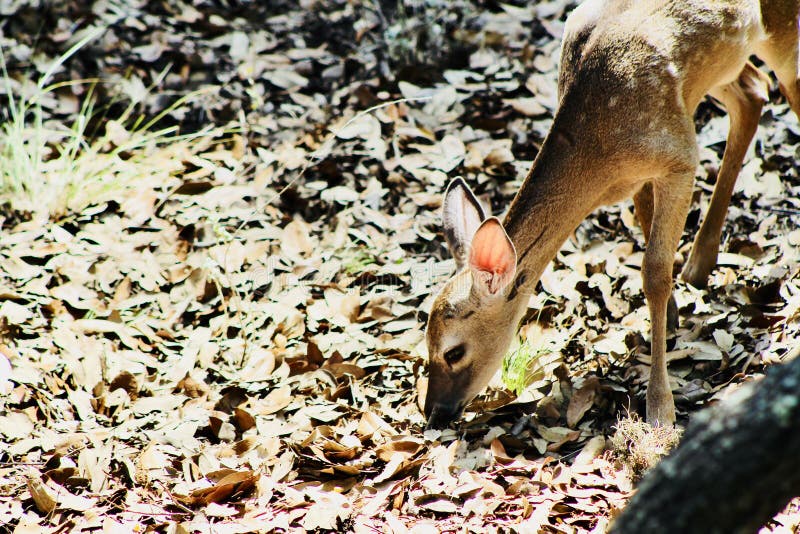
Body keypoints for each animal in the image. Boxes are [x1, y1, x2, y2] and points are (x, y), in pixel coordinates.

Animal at [423, 0, 800, 429]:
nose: (433, 413)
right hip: (722, 65)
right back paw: (699, 263)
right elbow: (646, 226)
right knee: (754, 90)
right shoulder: (648, 165)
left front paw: (660, 406)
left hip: (780, 32)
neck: (601, 156)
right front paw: (672, 318)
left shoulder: (679, 156)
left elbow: (654, 273)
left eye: (453, 351)